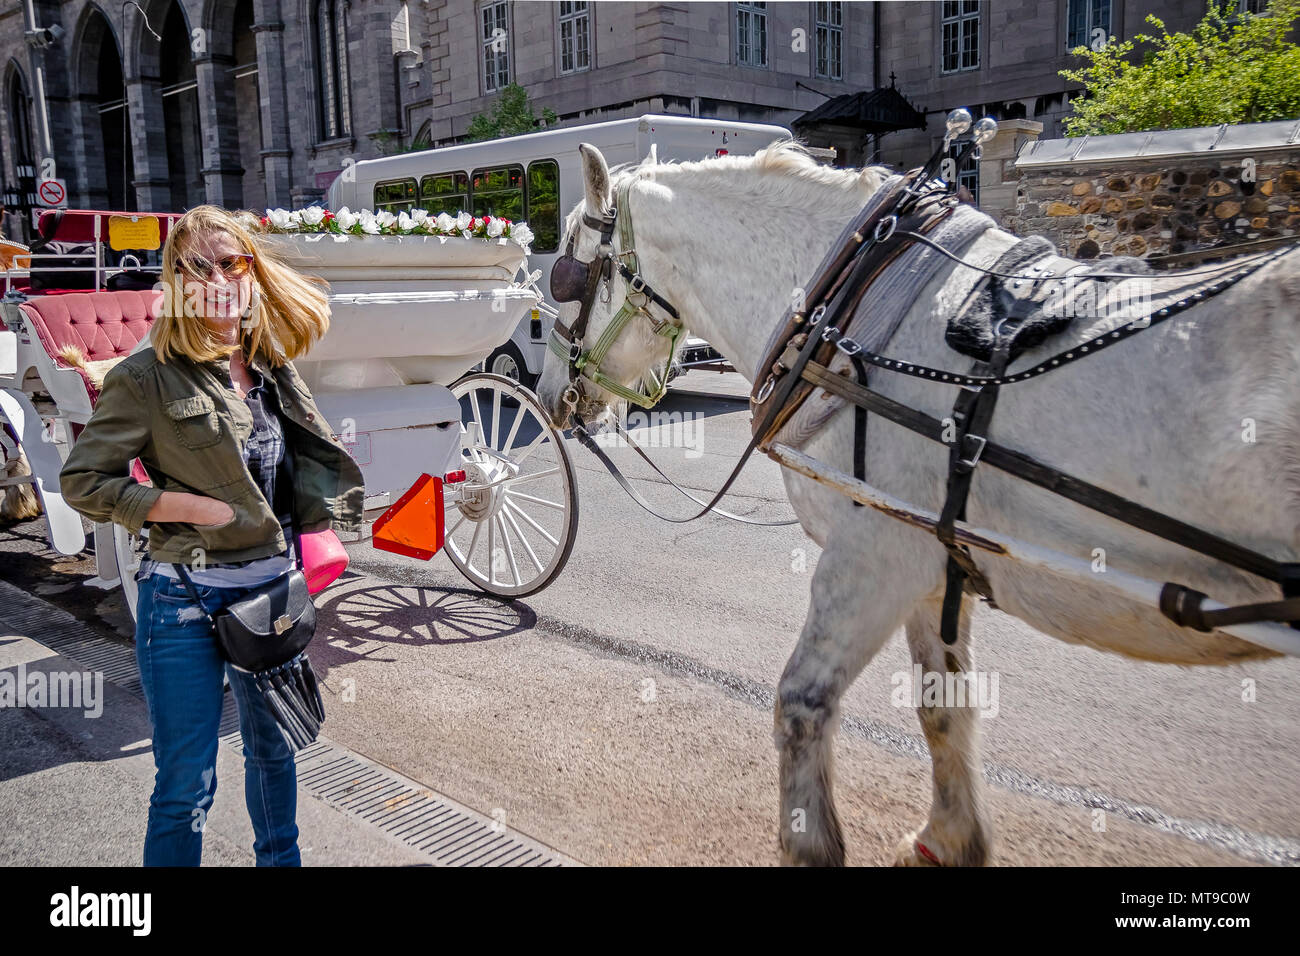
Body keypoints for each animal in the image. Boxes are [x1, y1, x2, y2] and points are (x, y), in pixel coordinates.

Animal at [536, 140, 1300, 866]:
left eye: (565, 276)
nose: (549, 395)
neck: (847, 320)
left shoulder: (873, 553)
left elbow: (801, 703)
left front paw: (810, 842)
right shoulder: (934, 565)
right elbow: (943, 707)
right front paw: (949, 837)